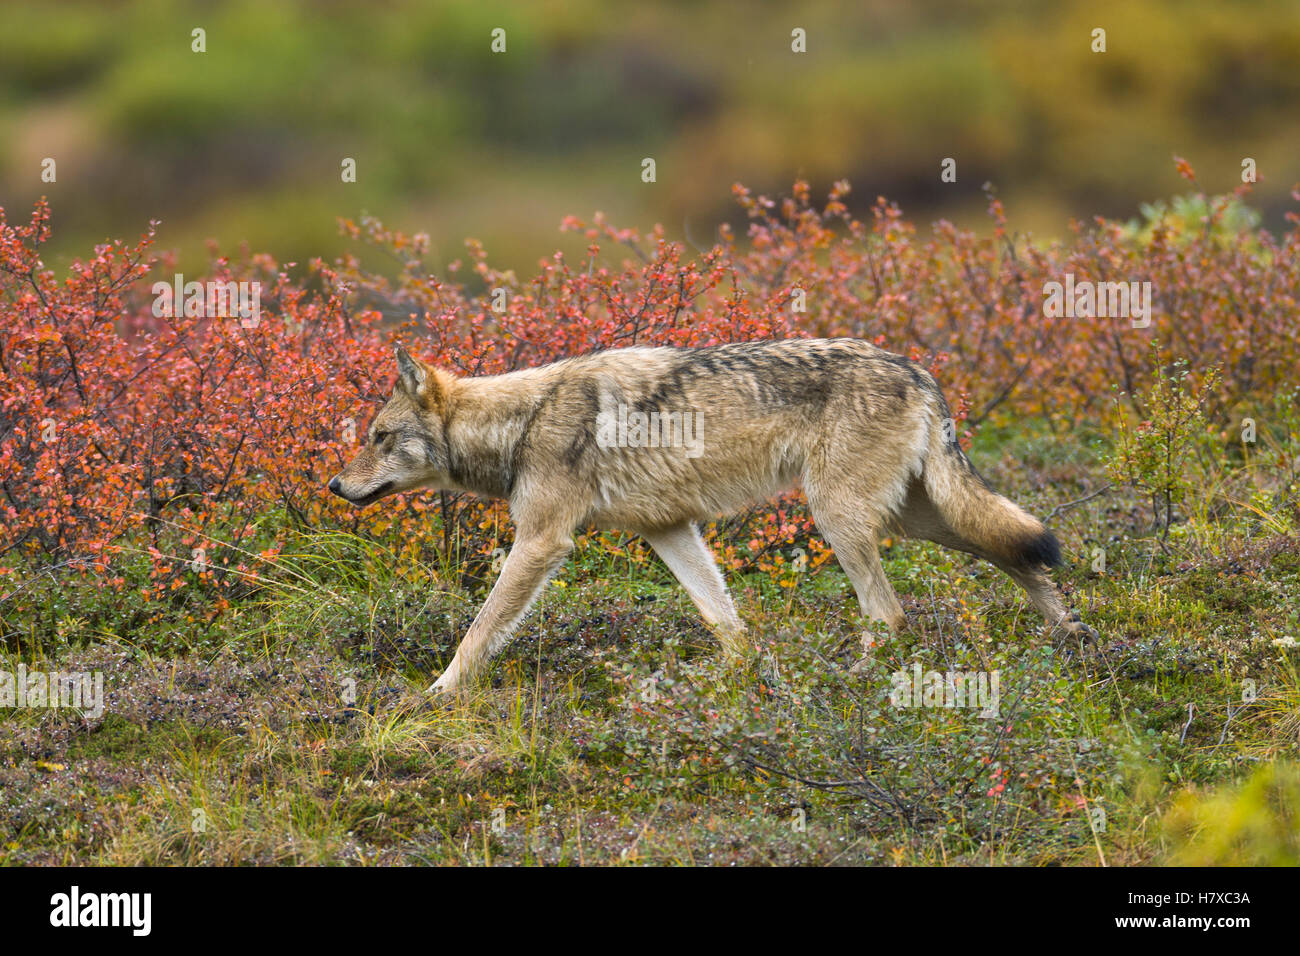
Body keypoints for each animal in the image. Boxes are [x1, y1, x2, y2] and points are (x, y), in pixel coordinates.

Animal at [329, 339, 1096, 694]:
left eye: (378, 437)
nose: (335, 485)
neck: (523, 421)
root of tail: (917, 369)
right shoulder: (669, 531)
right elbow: (725, 623)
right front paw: (735, 685)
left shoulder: (543, 541)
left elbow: (480, 629)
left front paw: (434, 694)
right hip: (917, 519)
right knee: (1019, 550)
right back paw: (1068, 635)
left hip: (840, 518)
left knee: (889, 613)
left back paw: (848, 680)